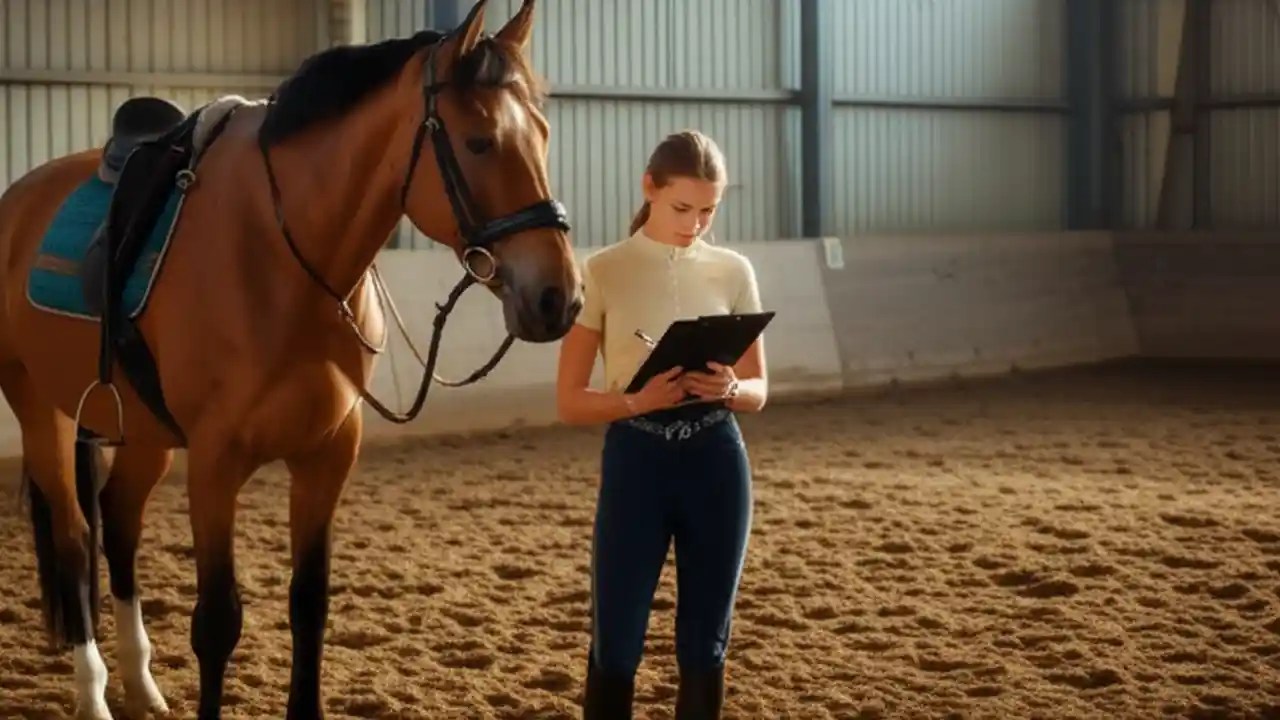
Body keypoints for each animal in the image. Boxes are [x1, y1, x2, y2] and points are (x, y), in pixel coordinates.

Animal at [0, 0, 582, 717]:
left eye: (543, 135)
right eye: (479, 142)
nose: (559, 298)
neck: (284, 251)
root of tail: (19, 200)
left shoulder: (326, 456)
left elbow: (309, 604)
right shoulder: (215, 464)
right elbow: (217, 622)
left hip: (146, 432)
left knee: (119, 520)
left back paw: (141, 683)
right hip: (39, 408)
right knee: (77, 539)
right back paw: (95, 694)